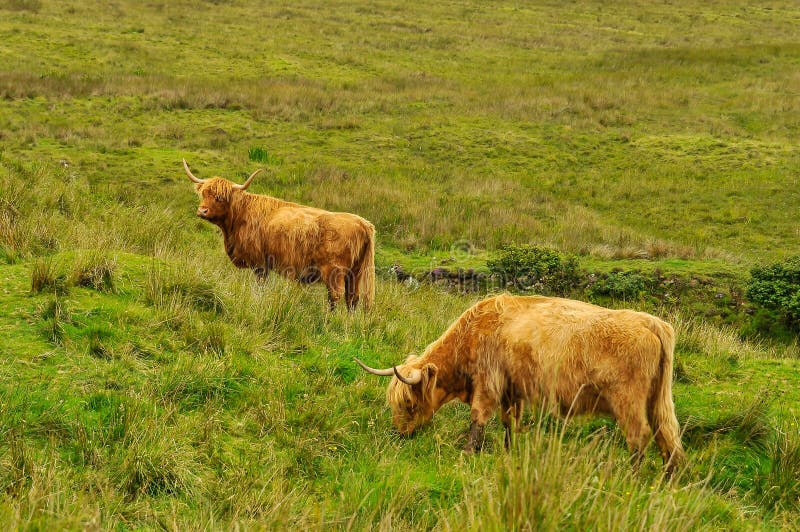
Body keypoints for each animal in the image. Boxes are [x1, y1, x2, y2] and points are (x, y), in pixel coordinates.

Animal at [183, 160, 375, 310]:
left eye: (219, 197)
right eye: (204, 193)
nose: (202, 211)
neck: (238, 217)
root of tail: (363, 223)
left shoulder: (260, 263)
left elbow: (260, 286)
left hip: (334, 271)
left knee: (336, 296)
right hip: (355, 273)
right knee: (353, 298)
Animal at [356, 294, 685, 473]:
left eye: (408, 403)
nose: (400, 434)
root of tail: (651, 322)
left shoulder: (487, 382)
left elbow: (478, 418)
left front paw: (467, 453)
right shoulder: (512, 390)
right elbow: (509, 423)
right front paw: (508, 452)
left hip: (628, 400)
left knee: (639, 436)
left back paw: (631, 477)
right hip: (657, 400)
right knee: (667, 435)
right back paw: (668, 478)